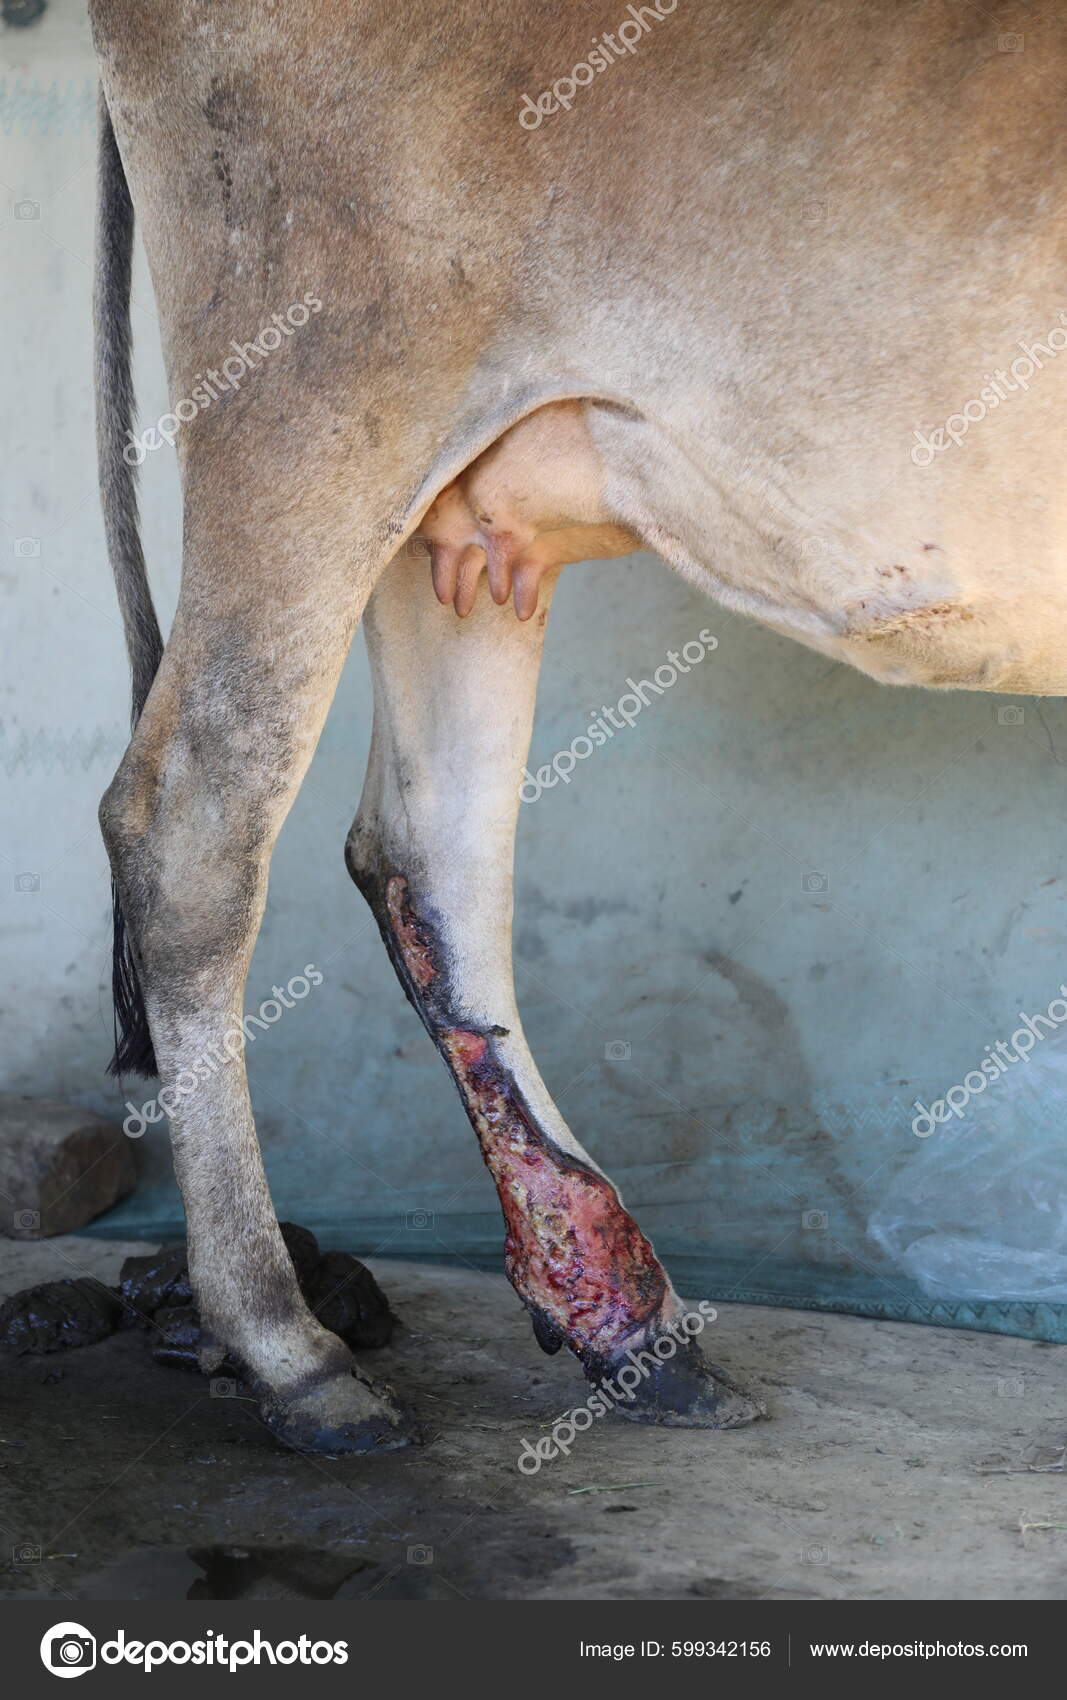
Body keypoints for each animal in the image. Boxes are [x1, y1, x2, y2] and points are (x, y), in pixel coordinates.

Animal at [90, 0, 1067, 1453]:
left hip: (460, 503)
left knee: (428, 848)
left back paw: (625, 1317)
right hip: (311, 403)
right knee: (193, 824)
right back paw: (289, 1350)